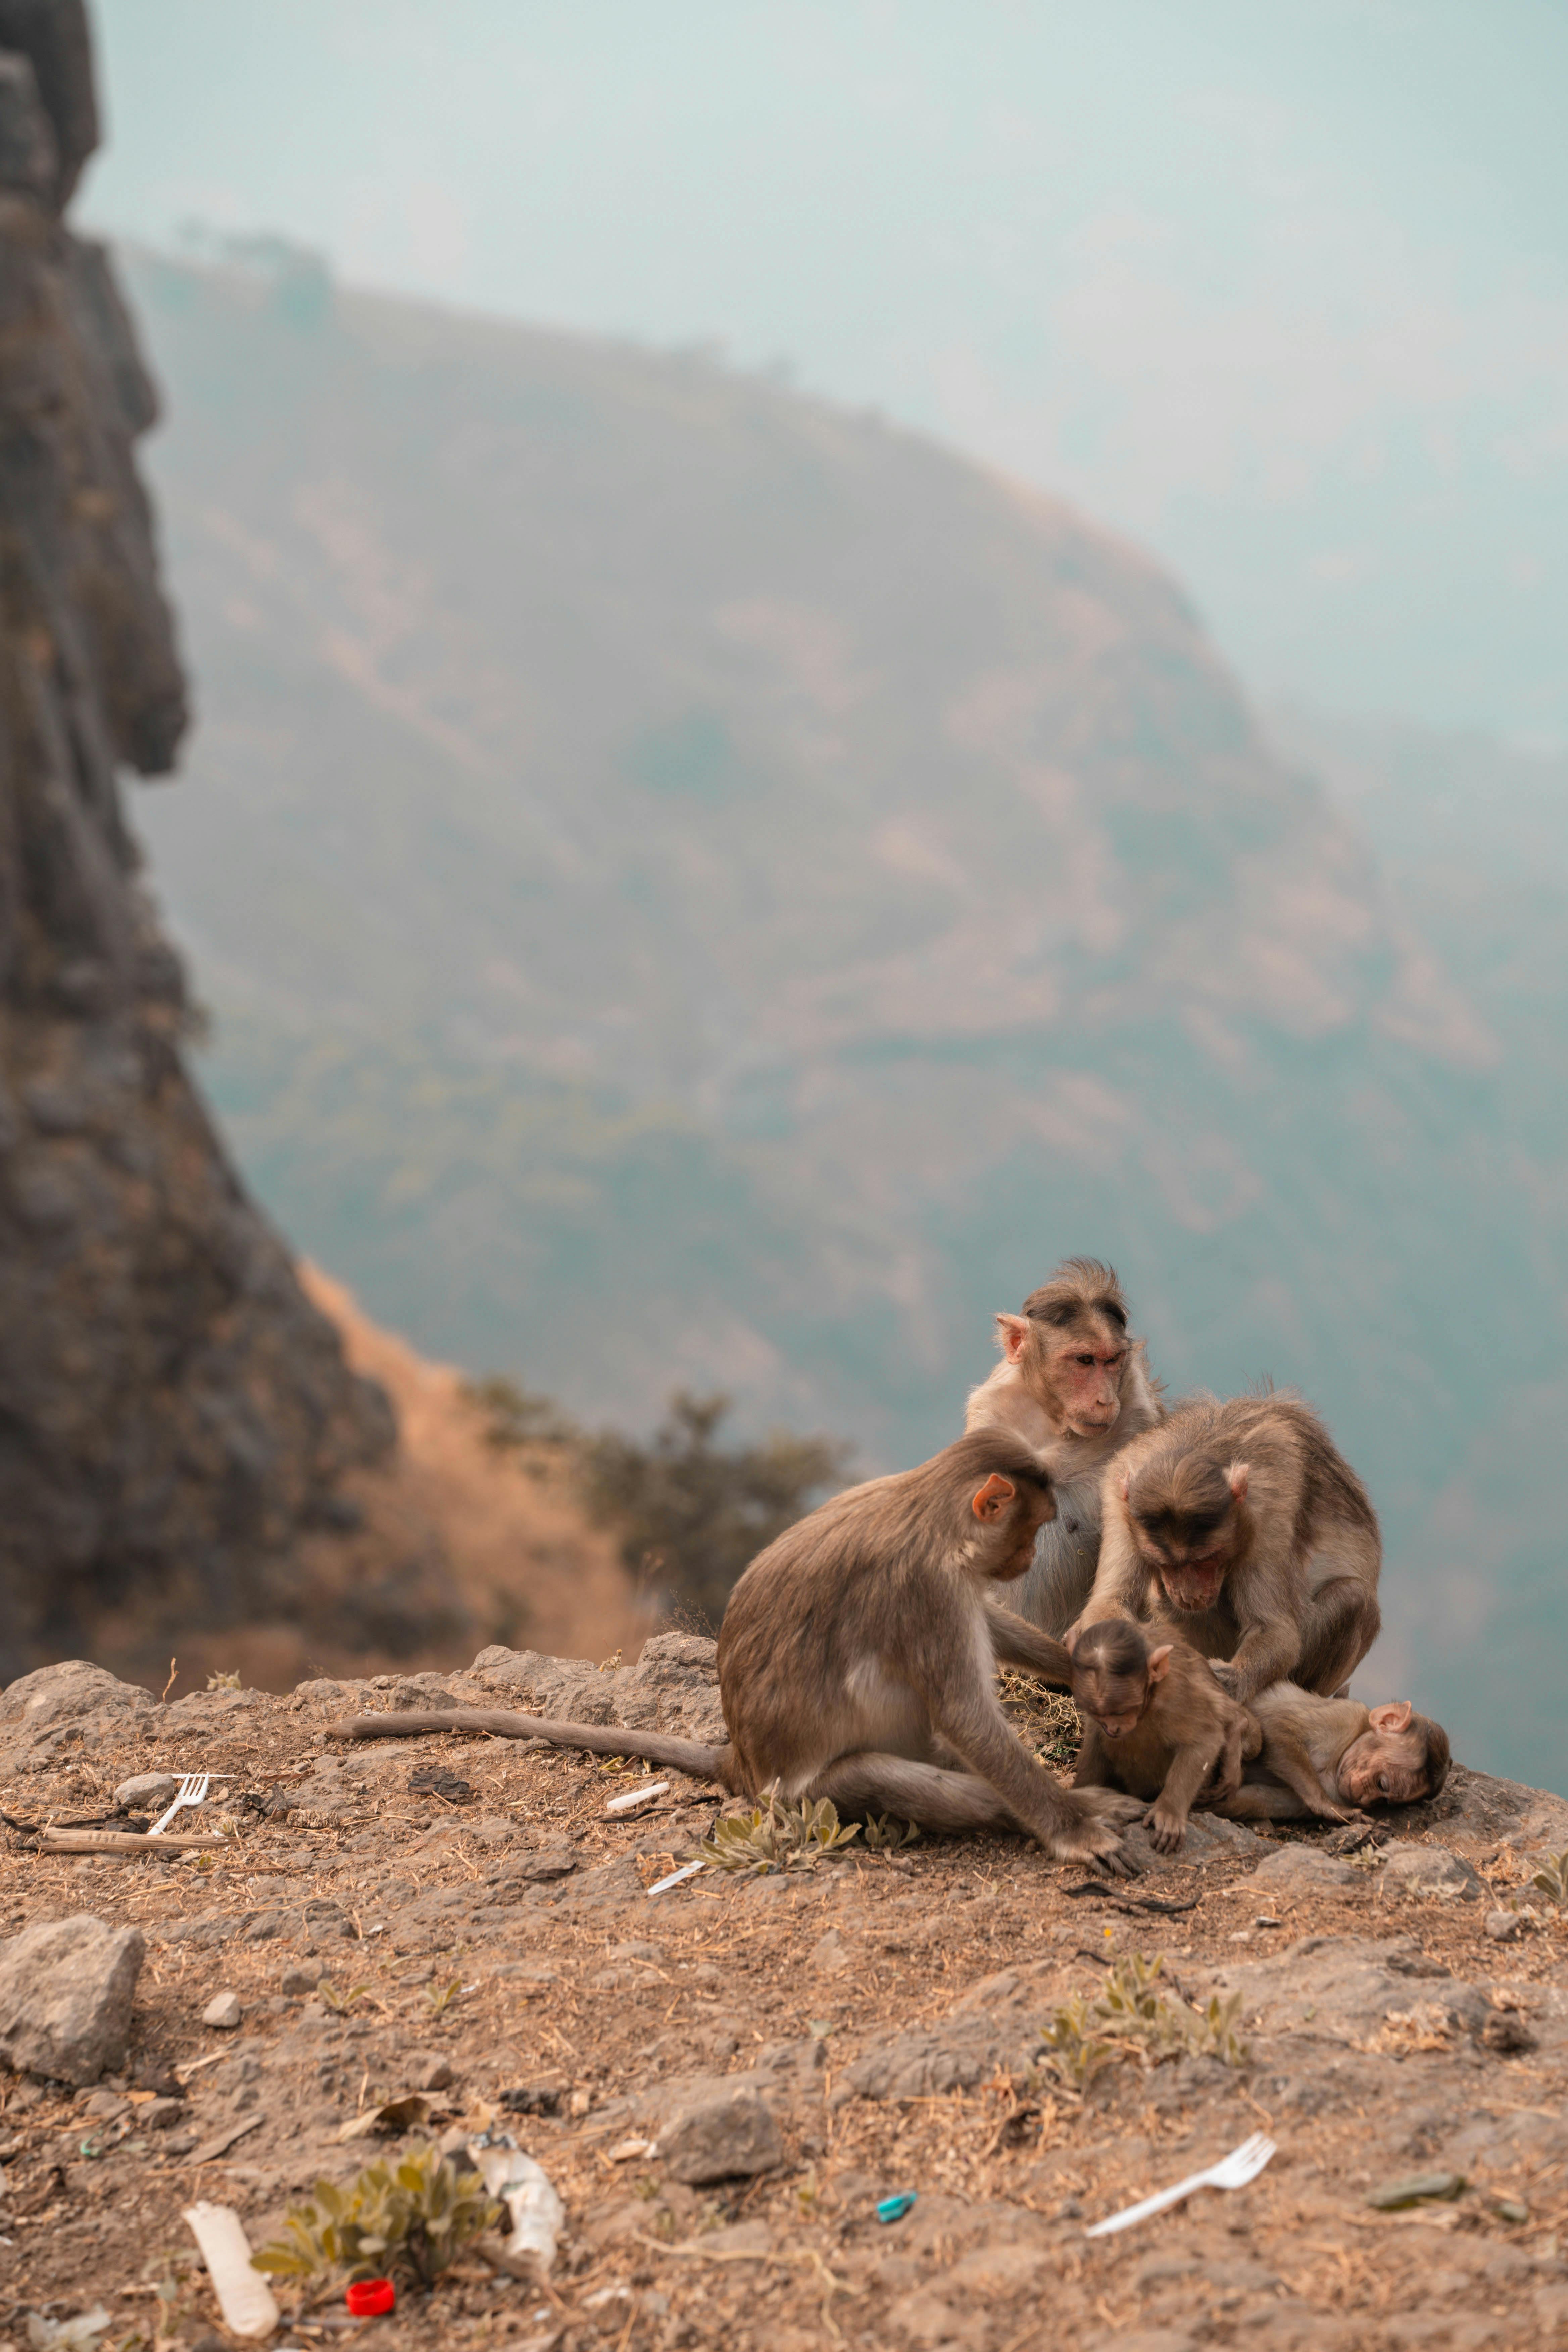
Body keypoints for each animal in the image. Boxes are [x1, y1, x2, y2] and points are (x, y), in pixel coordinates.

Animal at [324, 1430, 1143, 1872]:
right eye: (1030, 1528)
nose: (1024, 1558)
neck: (928, 1513)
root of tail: (739, 1763)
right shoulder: (923, 1593)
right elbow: (967, 1716)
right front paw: (1073, 1828)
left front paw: (1082, 1667)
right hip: (801, 1798)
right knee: (888, 1779)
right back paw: (1072, 1804)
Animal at [963, 1257, 1165, 1636]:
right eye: (1085, 1361)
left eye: (1112, 1360)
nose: (1105, 1400)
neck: (1058, 1427)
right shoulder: (989, 1413)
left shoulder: (1140, 1420)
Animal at [1066, 1618, 1262, 1853]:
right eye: (1098, 1713)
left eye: (1122, 1712)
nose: (1113, 1729)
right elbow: (1096, 1741)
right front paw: (1087, 1800)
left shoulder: (1176, 1696)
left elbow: (1205, 1739)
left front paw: (1169, 1811)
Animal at [1075, 1390, 1381, 1705]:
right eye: (1166, 1565)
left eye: (1207, 1560)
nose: (1190, 1597)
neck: (1198, 1443)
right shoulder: (1118, 1501)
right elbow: (1111, 1600)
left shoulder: (1268, 1514)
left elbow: (1275, 1629)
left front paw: (1233, 1680)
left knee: (1352, 1597)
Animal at [1197, 1682, 1450, 1825]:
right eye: (1383, 1784)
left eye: (1384, 1800)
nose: (1366, 1799)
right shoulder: (1343, 1718)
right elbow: (1277, 1728)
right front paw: (1326, 1806)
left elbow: (1249, 1799)